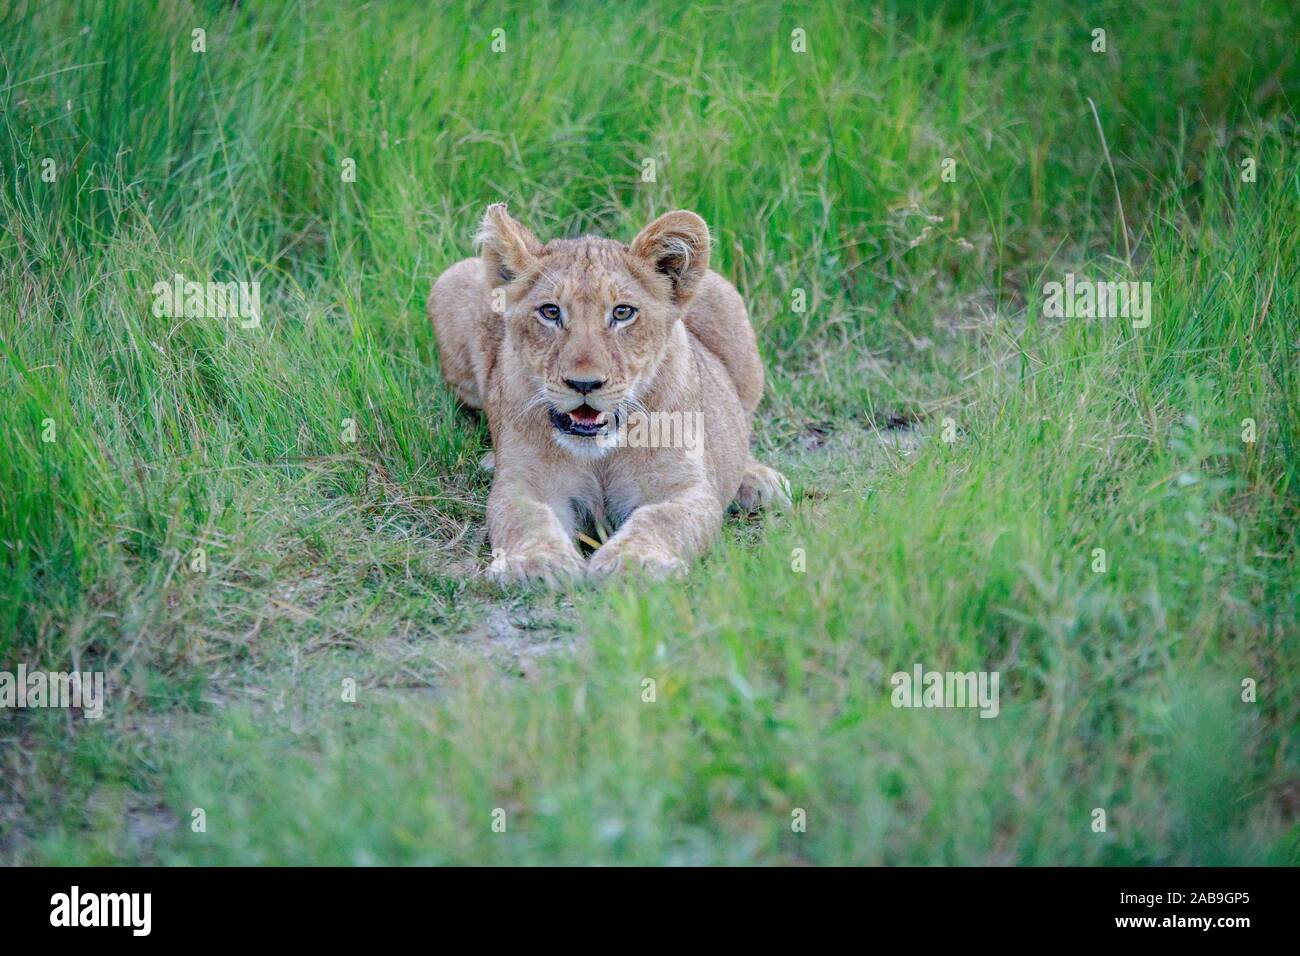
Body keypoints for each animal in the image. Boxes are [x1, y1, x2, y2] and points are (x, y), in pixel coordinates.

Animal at [428, 204, 790, 584]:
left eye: (622, 312)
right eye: (550, 311)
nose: (584, 384)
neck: (600, 453)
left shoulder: (685, 489)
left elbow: (660, 519)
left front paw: (634, 560)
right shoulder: (523, 485)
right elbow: (526, 520)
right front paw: (536, 563)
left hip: (729, 311)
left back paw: (759, 482)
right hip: (454, 281)